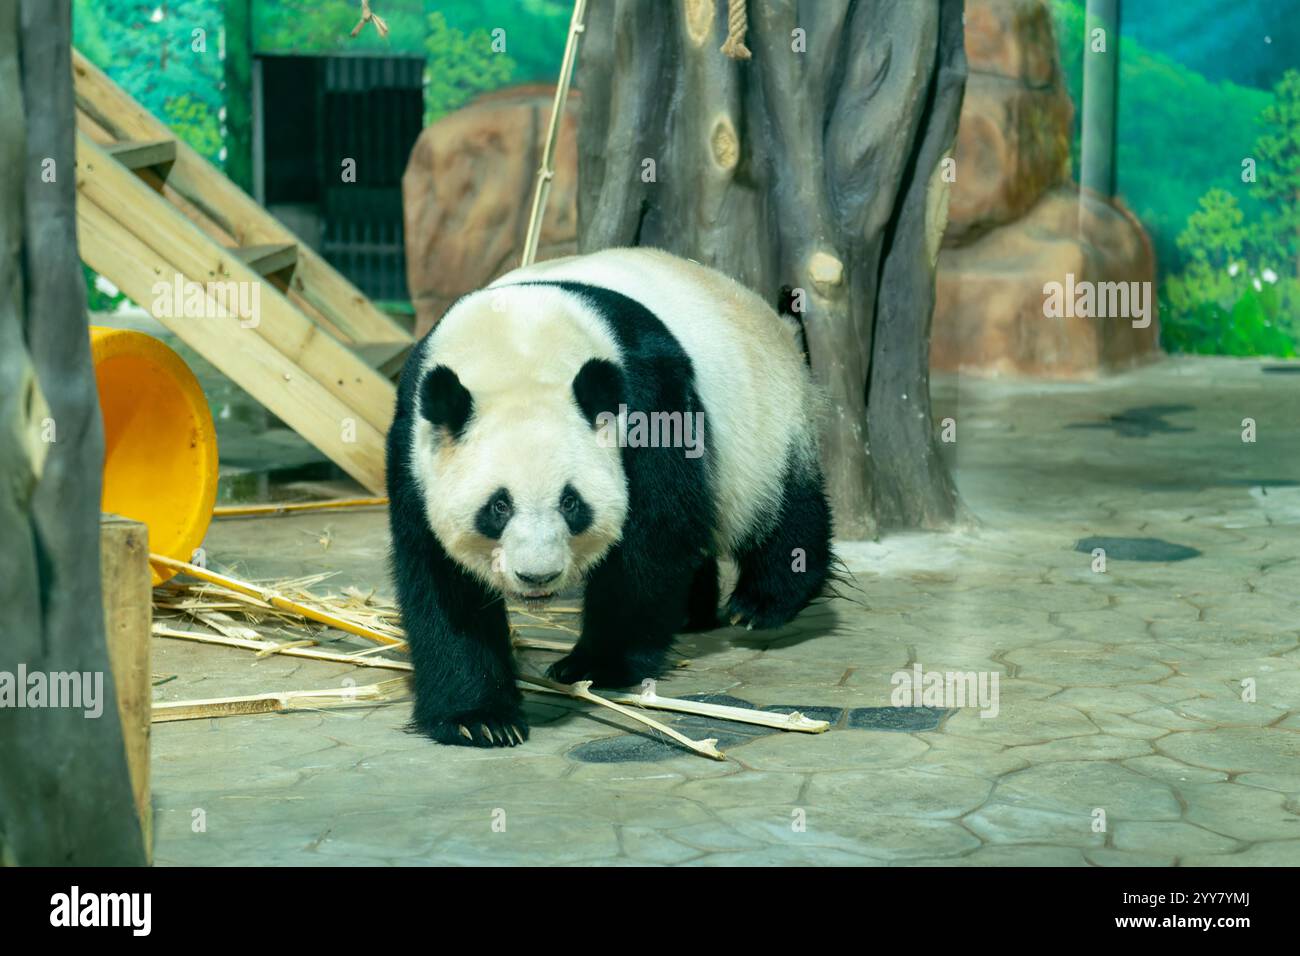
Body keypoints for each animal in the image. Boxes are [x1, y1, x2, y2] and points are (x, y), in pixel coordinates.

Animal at [386, 247, 833, 747]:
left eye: (571, 503)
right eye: (498, 507)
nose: (538, 577)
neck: (517, 345)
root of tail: (774, 321)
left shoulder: (650, 399)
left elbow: (652, 538)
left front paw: (595, 665)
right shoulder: (414, 441)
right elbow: (439, 578)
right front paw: (479, 718)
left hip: (766, 421)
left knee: (785, 511)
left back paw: (761, 603)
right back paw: (690, 613)